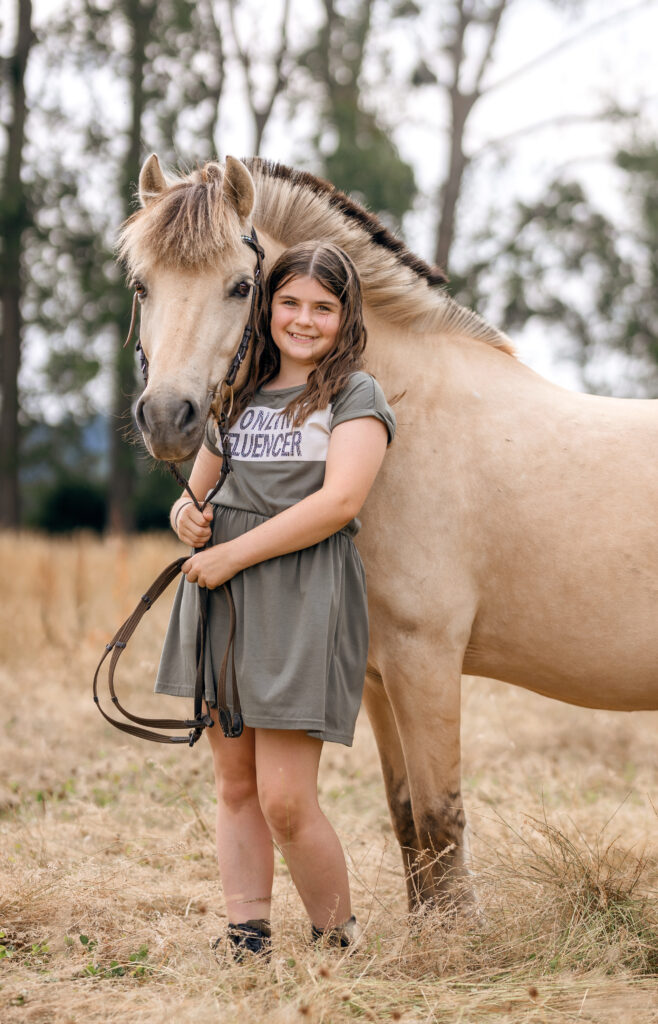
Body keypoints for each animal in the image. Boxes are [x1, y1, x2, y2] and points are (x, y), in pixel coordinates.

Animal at [118, 153, 658, 910]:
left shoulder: (425, 662)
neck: (401, 424)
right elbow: (406, 817)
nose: (169, 417)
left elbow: (439, 816)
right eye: (144, 284)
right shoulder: (375, 675)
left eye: (240, 286)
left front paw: (458, 934)